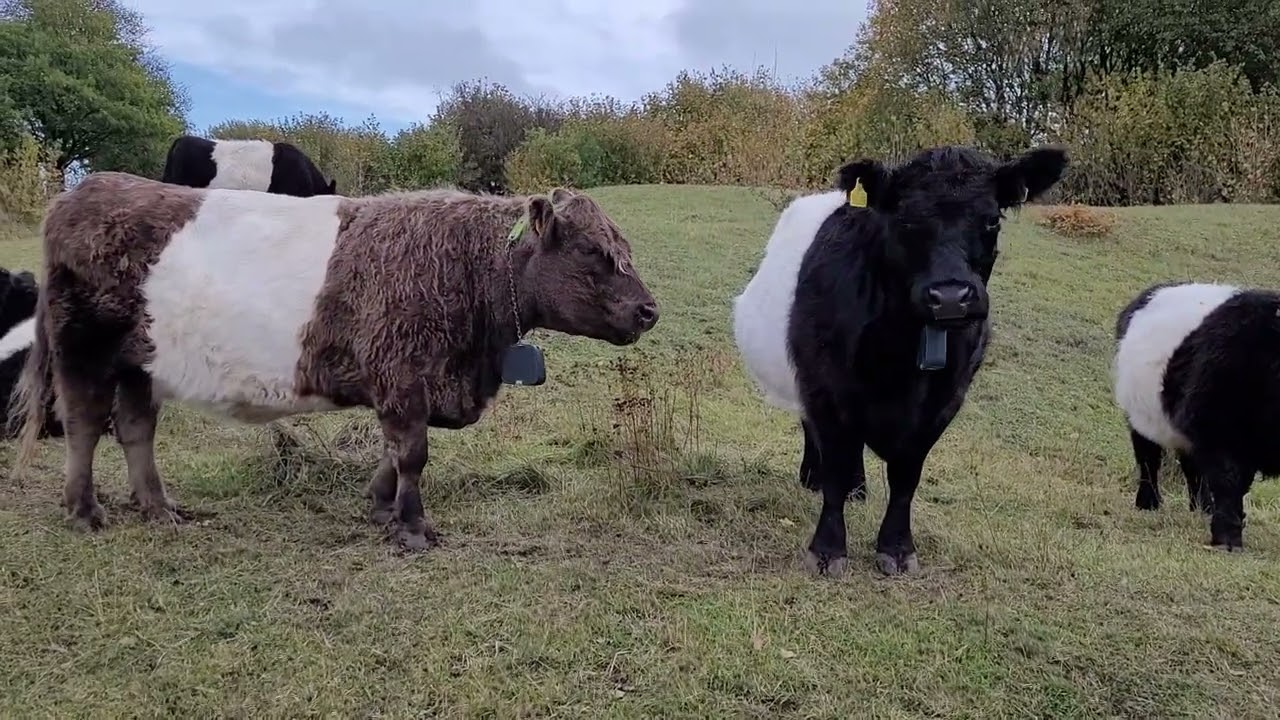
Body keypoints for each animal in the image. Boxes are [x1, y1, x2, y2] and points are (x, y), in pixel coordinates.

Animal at [8, 172, 660, 550]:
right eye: (591, 251)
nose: (649, 310)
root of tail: (82, 190)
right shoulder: (404, 377)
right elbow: (413, 454)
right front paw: (413, 527)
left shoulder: (409, 386)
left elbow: (394, 454)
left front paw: (380, 507)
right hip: (84, 352)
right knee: (85, 425)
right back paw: (85, 510)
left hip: (143, 363)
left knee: (136, 429)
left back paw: (159, 509)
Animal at [733, 144, 1069, 577]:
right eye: (905, 220)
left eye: (992, 219)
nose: (950, 297)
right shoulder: (825, 385)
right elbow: (835, 466)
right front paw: (827, 551)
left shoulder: (944, 401)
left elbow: (906, 476)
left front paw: (896, 548)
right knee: (814, 430)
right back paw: (813, 477)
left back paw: (858, 488)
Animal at [1113, 280, 1280, 552]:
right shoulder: (1218, 432)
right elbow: (1228, 483)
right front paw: (1227, 540)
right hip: (1140, 417)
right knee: (1148, 459)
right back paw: (1148, 503)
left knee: (1192, 469)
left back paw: (1202, 508)